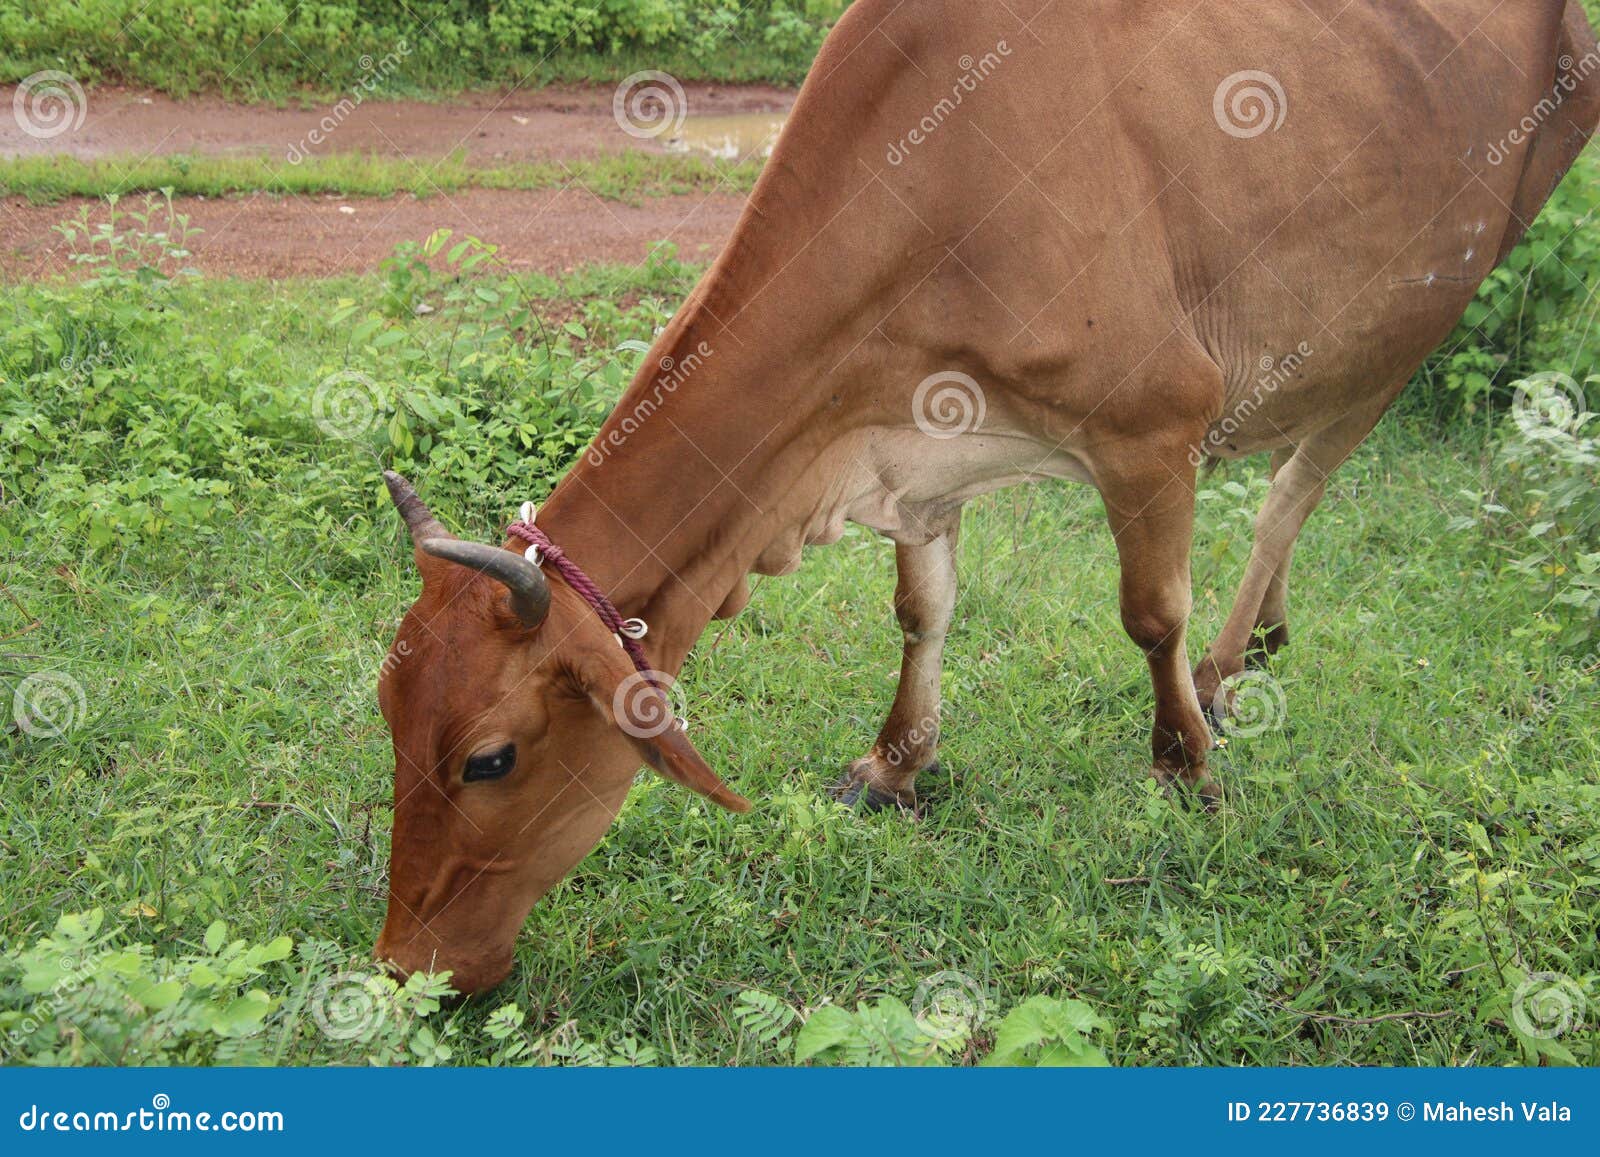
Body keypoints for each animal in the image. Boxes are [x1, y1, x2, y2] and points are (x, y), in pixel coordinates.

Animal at [373, 0, 1600, 994]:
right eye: (386, 714)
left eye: (489, 758)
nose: (401, 964)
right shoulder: (913, 450)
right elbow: (922, 610)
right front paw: (894, 763)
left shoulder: (1154, 427)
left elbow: (1151, 614)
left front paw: (1189, 770)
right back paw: (1261, 639)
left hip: (1423, 299)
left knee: (1295, 487)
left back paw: (1224, 663)